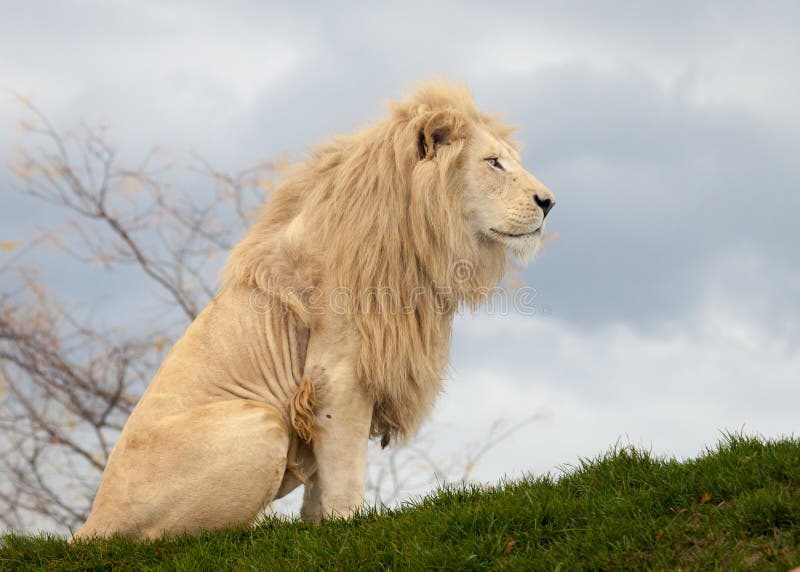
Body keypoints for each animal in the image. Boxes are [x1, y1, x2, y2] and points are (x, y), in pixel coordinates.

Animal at [72, 81, 556, 539]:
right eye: (493, 163)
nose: (549, 202)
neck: (413, 242)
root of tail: (93, 521)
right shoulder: (338, 376)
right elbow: (345, 471)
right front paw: (349, 527)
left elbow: (322, 483)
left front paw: (317, 526)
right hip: (261, 422)